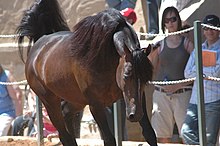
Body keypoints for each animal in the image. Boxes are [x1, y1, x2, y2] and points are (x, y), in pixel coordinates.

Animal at [17, 0, 157, 145]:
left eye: (146, 78)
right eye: (126, 75)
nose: (135, 114)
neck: (108, 58)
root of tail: (38, 46)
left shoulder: (138, 99)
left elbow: (149, 133)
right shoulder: (96, 105)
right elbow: (109, 139)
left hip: (76, 100)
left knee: (66, 115)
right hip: (50, 102)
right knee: (64, 135)